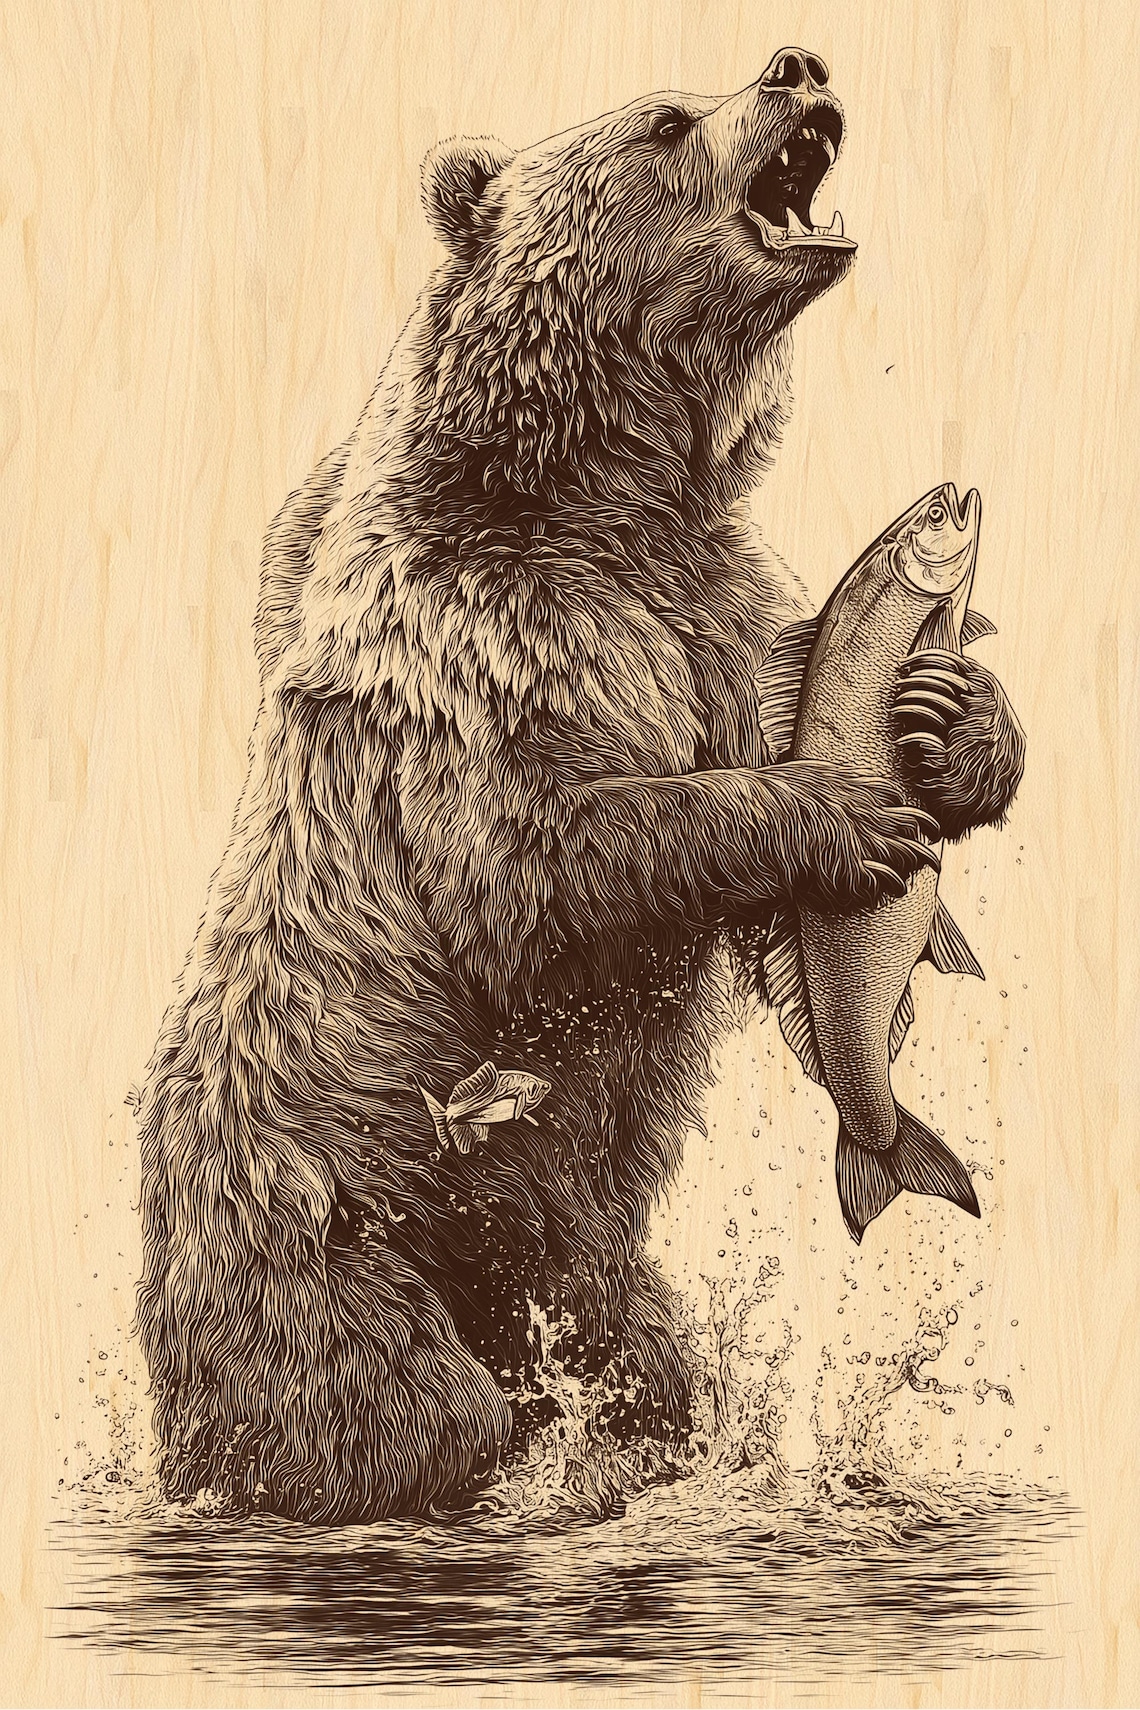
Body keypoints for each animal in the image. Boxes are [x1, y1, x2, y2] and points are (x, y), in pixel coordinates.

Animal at [134, 50, 1025, 1524]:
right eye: (664, 120)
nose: (800, 67)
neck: (602, 487)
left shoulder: (708, 603)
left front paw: (958, 727)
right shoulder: (486, 641)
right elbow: (543, 860)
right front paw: (842, 810)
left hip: (575, 1243)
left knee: (637, 1355)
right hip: (323, 1215)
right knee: (387, 1401)